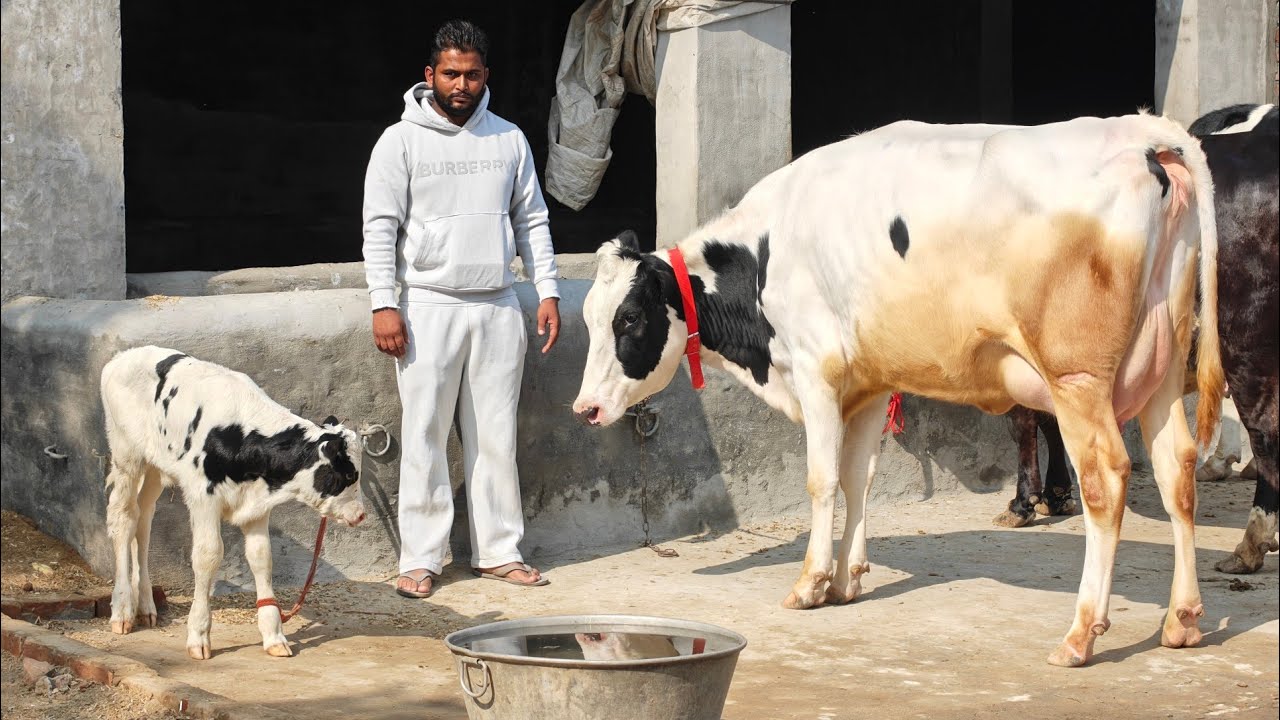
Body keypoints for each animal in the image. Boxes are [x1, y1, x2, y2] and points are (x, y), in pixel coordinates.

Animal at [101, 346, 366, 660]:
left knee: (144, 519)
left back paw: (145, 606)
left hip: (155, 465)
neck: (242, 438)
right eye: (349, 474)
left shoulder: (256, 505)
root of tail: (123, 356)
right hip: (126, 456)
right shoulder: (203, 498)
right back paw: (122, 610)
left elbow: (262, 558)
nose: (361, 514)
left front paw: (274, 636)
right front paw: (198, 635)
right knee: (124, 518)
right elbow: (208, 556)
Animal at [573, 112, 1222, 667]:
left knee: (1106, 481)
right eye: (589, 317)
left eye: (629, 319)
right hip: (1164, 372)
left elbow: (822, 480)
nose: (585, 408)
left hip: (1077, 379)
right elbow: (858, 479)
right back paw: (1182, 619)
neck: (769, 249)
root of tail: (1142, 134)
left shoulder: (815, 372)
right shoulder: (866, 385)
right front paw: (846, 579)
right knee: (1177, 469)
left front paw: (810, 582)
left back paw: (1082, 633)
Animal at [996, 104, 1278, 574]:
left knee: (1265, 430)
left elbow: (1024, 421)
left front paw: (1024, 502)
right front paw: (1056, 494)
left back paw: (1250, 544)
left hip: (1245, 339)